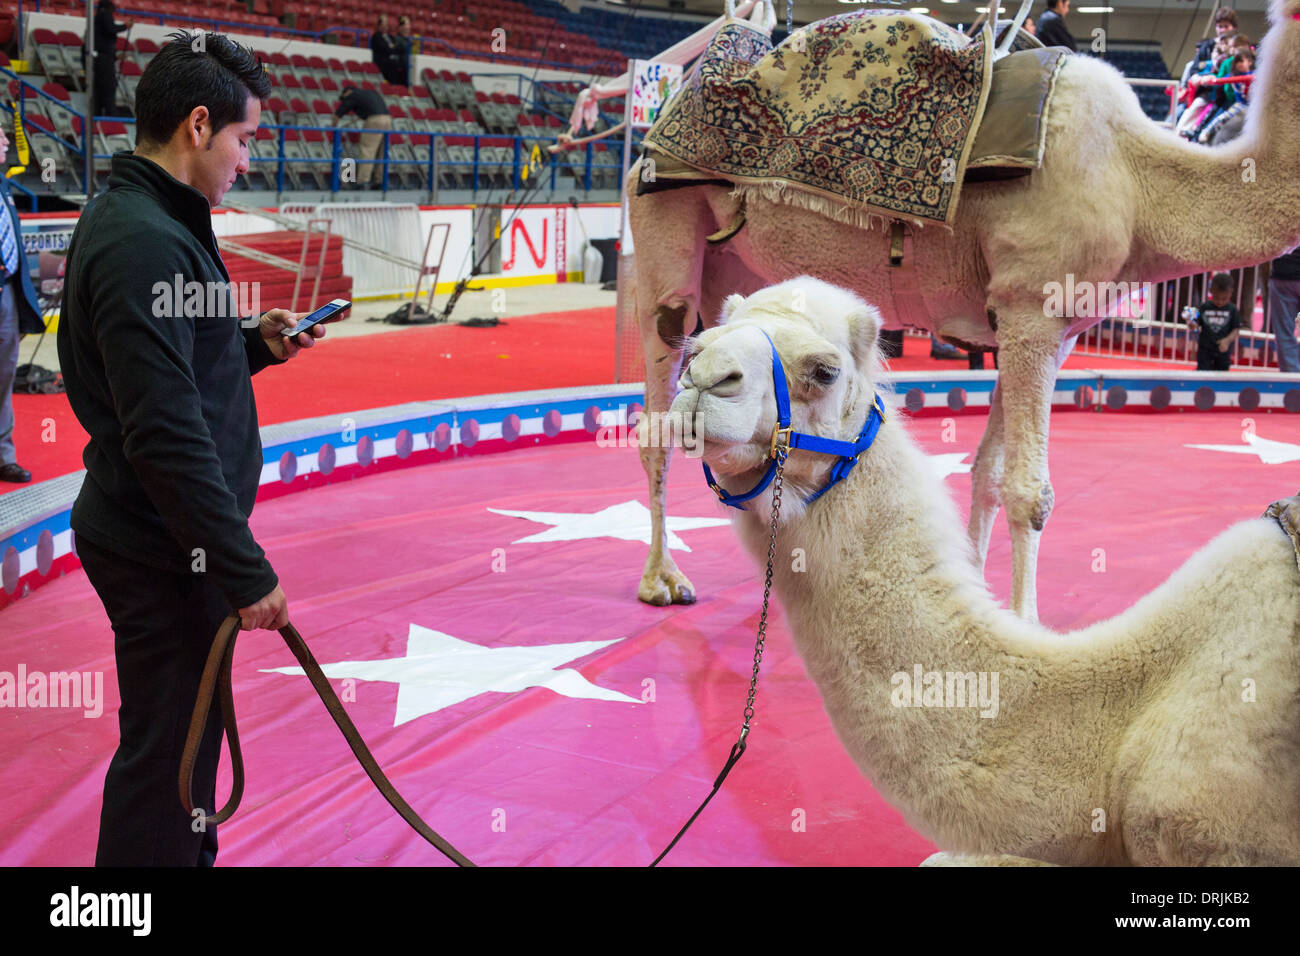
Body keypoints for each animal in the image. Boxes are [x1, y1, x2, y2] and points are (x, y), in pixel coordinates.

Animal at [629, 0, 1300, 620]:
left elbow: (989, 473)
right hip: (662, 237)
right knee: (658, 412)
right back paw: (663, 579)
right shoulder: (1034, 308)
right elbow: (1032, 492)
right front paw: (1027, 620)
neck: (1139, 185)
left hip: (739, 272)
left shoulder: (1037, 329)